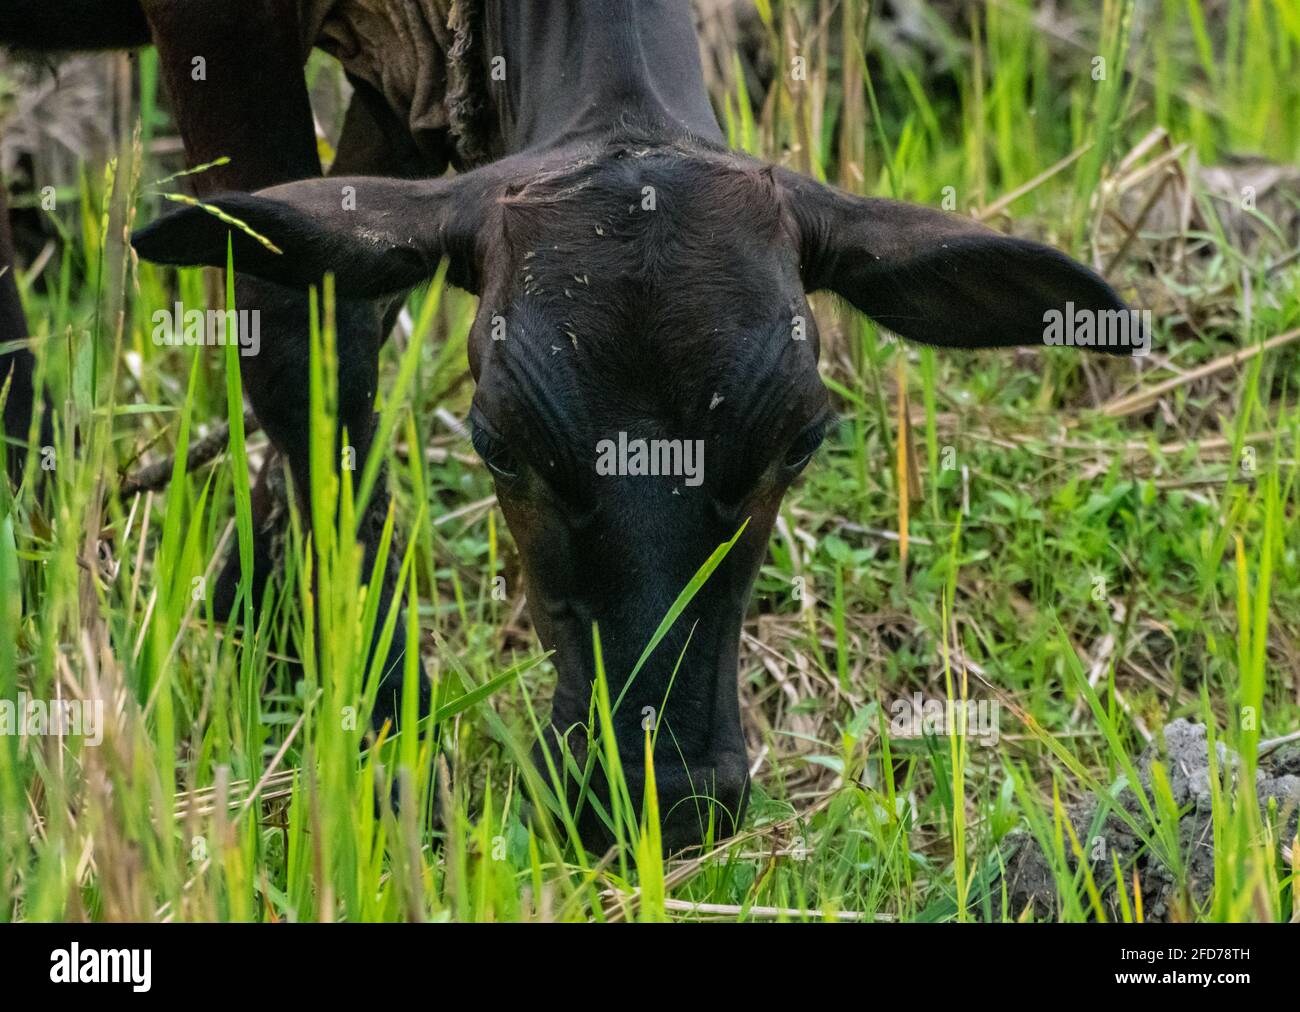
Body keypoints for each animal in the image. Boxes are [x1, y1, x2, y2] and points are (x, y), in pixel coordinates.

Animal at [1, 1, 1136, 851]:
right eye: (498, 444)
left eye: (800, 441)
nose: (658, 794)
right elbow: (299, 338)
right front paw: (387, 721)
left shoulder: (409, 83)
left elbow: (350, 295)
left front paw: (266, 614)